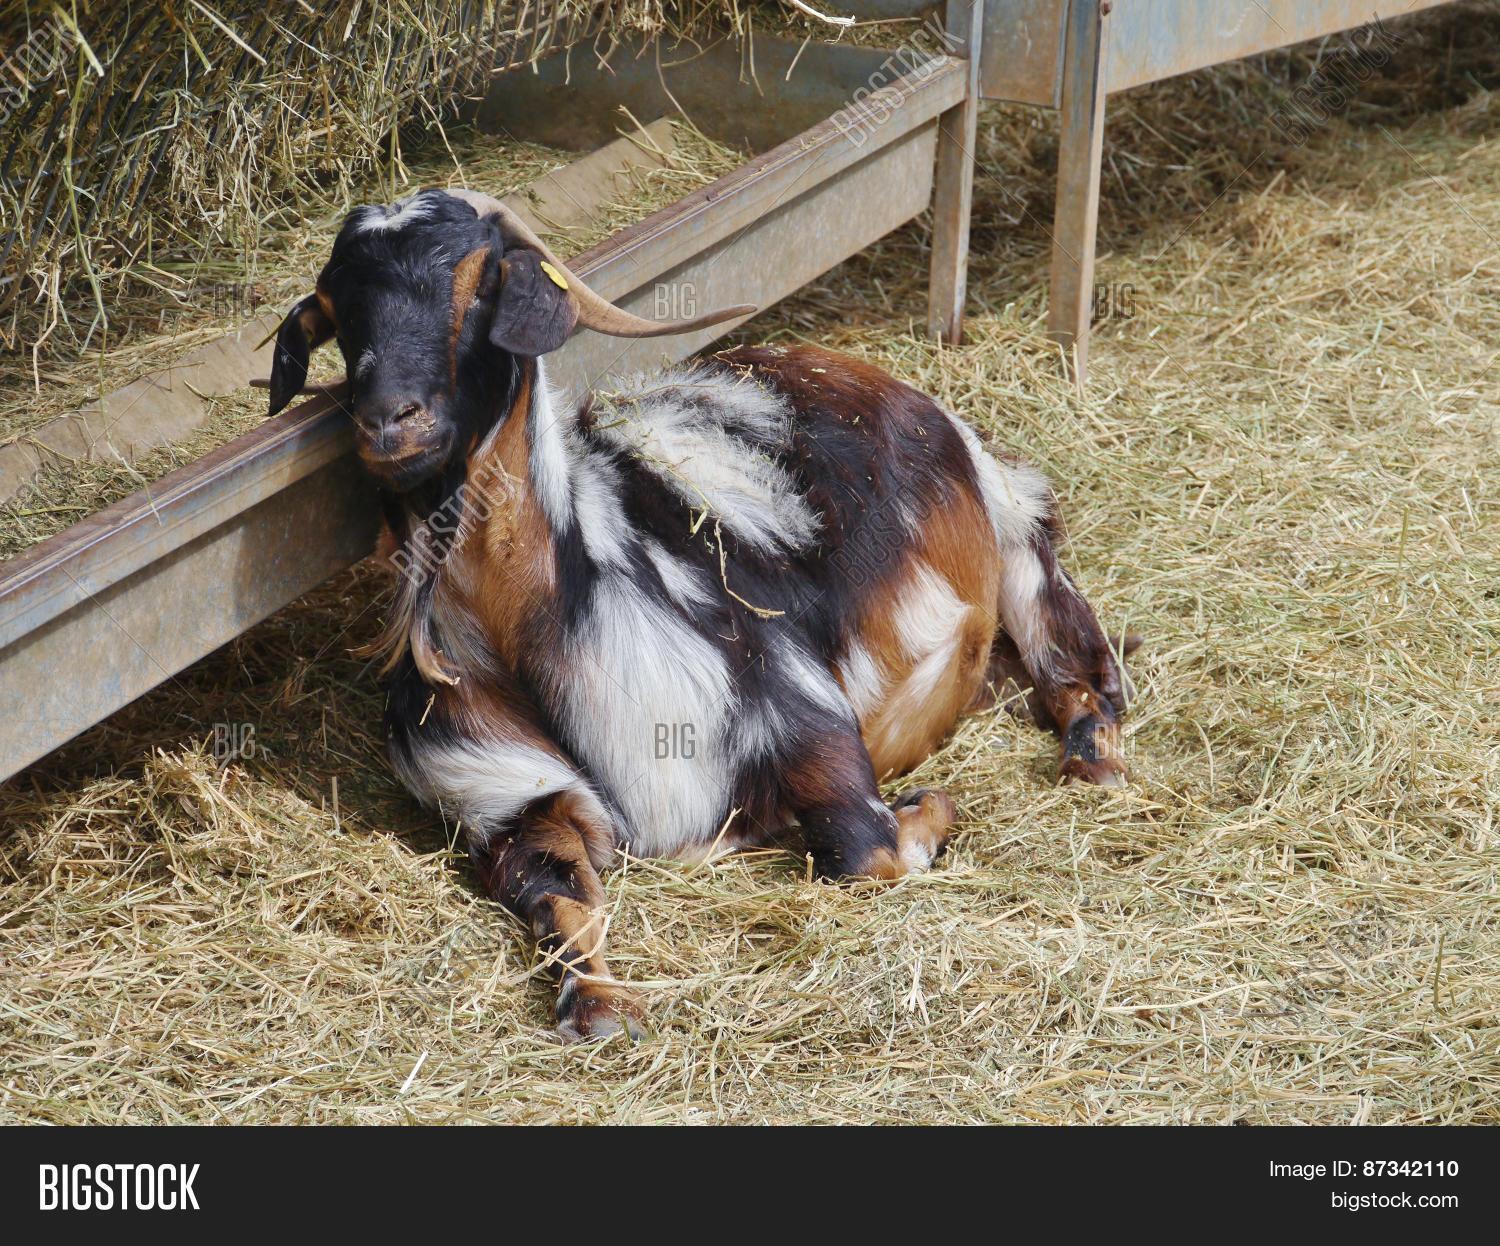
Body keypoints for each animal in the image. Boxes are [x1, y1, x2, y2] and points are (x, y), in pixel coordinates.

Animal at [268, 188, 1131, 1040]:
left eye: (480, 285)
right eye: (339, 313)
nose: (390, 420)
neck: (533, 625)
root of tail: (867, 372)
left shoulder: (796, 706)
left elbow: (868, 851)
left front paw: (936, 809)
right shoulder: (502, 799)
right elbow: (557, 898)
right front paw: (599, 1003)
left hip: (1011, 524)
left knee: (1074, 655)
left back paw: (1094, 754)